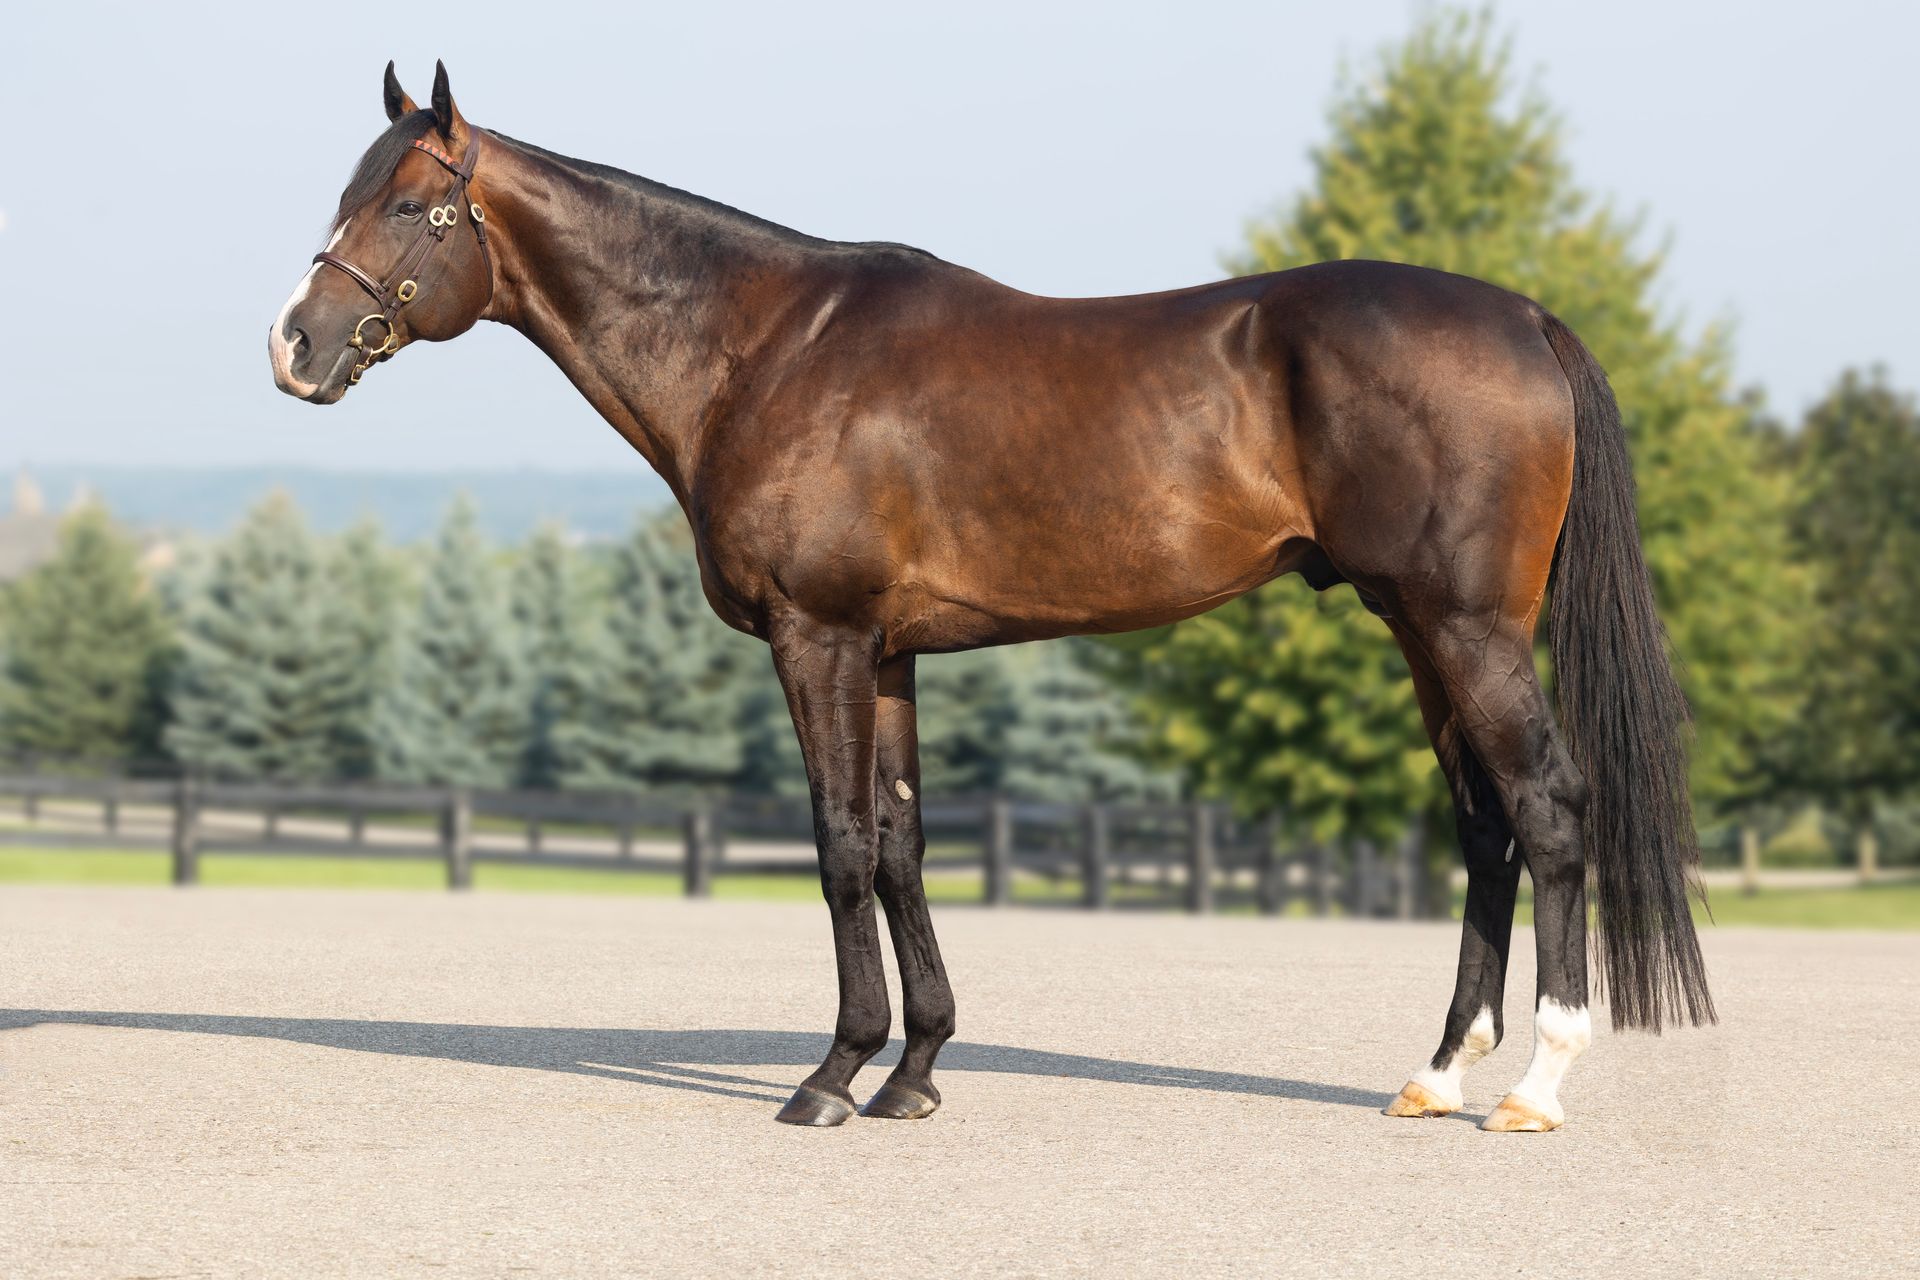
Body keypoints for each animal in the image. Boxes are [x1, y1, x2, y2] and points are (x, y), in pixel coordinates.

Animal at [270, 62, 1714, 1133]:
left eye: (411, 206)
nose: (294, 346)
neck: (761, 349)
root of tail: (1525, 317)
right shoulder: (890, 652)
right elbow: (906, 843)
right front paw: (915, 1072)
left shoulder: (819, 639)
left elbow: (842, 844)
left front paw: (831, 1077)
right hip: (1418, 628)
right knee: (1485, 825)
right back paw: (1436, 1073)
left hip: (1469, 629)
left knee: (1550, 808)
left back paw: (1535, 1085)